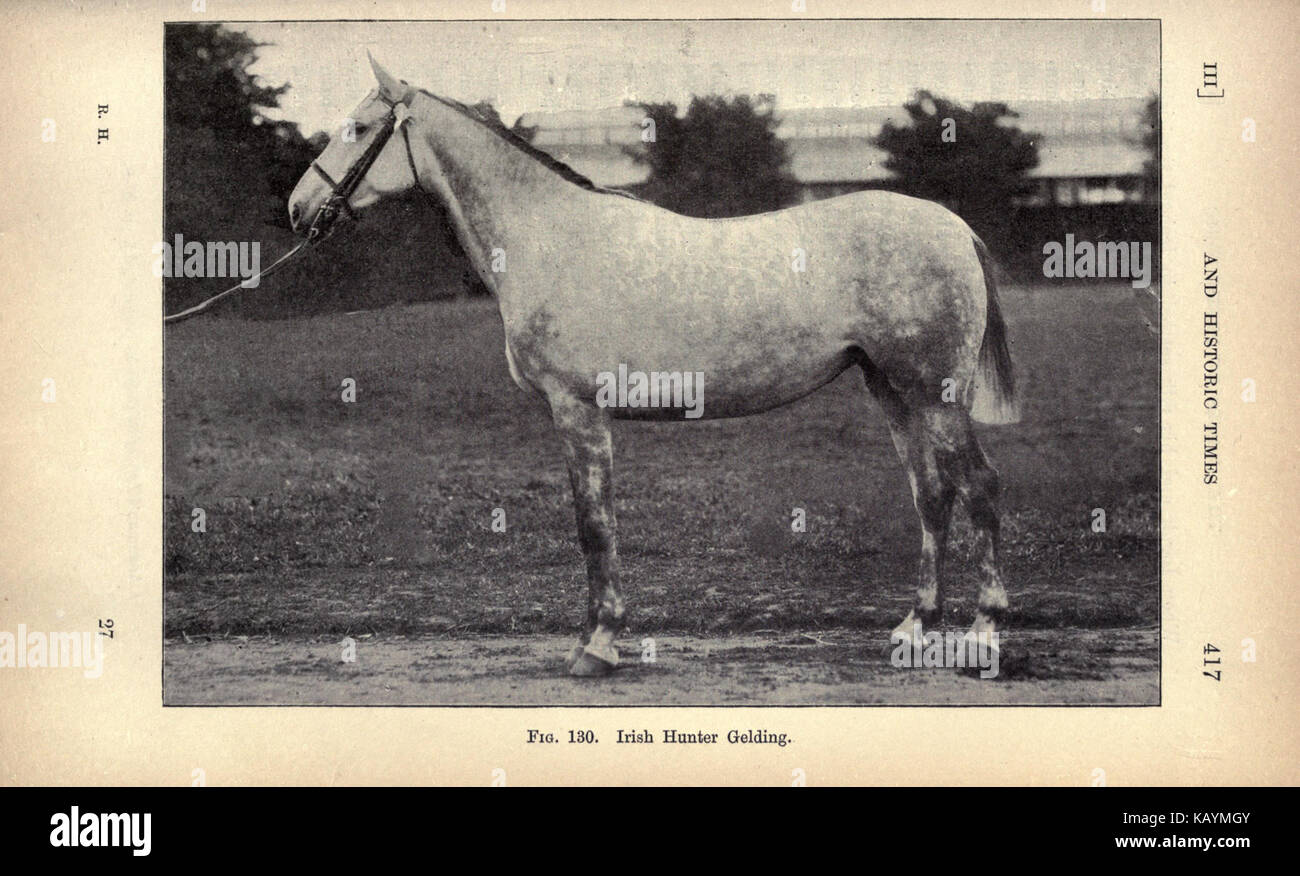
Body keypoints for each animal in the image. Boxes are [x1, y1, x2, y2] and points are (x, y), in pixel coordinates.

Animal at [288, 56, 1021, 677]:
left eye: (358, 129)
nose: (298, 209)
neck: (549, 239)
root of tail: (955, 229)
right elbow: (594, 523)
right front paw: (595, 638)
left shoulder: (578, 410)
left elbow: (594, 526)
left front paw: (599, 646)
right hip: (893, 389)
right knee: (933, 494)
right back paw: (915, 628)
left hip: (937, 394)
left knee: (981, 488)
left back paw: (983, 636)